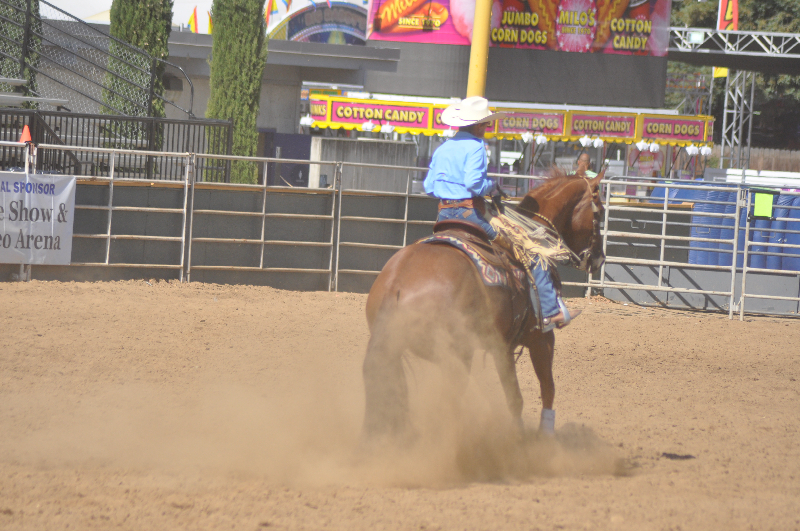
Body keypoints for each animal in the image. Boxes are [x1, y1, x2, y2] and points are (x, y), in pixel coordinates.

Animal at [361, 169, 606, 441]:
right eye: (599, 211)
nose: (599, 259)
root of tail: (397, 285)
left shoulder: (502, 346)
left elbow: (514, 397)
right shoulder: (540, 338)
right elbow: (546, 388)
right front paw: (543, 435)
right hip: (456, 355)